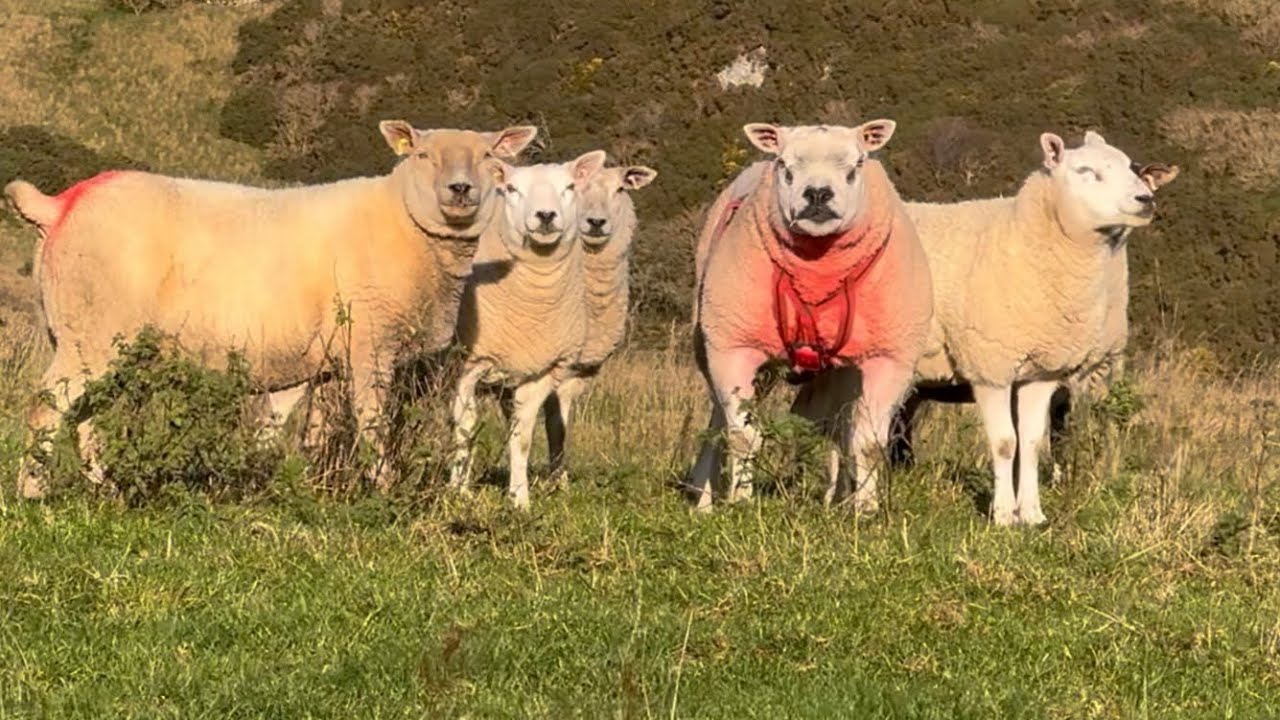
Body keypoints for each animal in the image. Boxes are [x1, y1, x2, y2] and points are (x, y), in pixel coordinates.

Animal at [4, 122, 538, 497]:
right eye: (423, 154)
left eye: (488, 155)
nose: (461, 190)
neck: (404, 223)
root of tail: (61, 204)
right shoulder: (369, 346)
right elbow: (371, 423)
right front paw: (383, 487)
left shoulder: (325, 361)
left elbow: (304, 431)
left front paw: (305, 485)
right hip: (91, 332)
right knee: (47, 405)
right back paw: (34, 491)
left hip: (88, 336)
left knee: (83, 416)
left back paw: (105, 487)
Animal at [448, 149, 608, 509]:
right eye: (511, 188)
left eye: (570, 187)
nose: (546, 215)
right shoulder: (466, 367)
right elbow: (465, 428)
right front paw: (457, 493)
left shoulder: (540, 372)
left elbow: (521, 437)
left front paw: (519, 499)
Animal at [540, 162, 658, 484]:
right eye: (575, 188)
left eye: (620, 189)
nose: (596, 222)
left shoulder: (574, 373)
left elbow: (557, 424)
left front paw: (559, 481)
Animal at [689, 120, 934, 513]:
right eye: (784, 166)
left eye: (857, 164)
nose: (818, 194)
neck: (817, 274)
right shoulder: (733, 347)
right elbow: (743, 436)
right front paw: (741, 503)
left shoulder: (890, 358)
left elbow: (867, 443)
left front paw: (866, 511)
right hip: (712, 342)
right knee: (717, 422)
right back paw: (704, 499)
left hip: (840, 371)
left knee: (841, 430)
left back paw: (839, 498)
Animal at [889, 131, 1166, 526]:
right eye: (1085, 171)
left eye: (1132, 167)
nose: (1145, 199)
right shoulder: (991, 367)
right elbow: (1006, 443)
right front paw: (1004, 515)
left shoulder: (1044, 372)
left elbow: (1033, 443)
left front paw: (1032, 513)